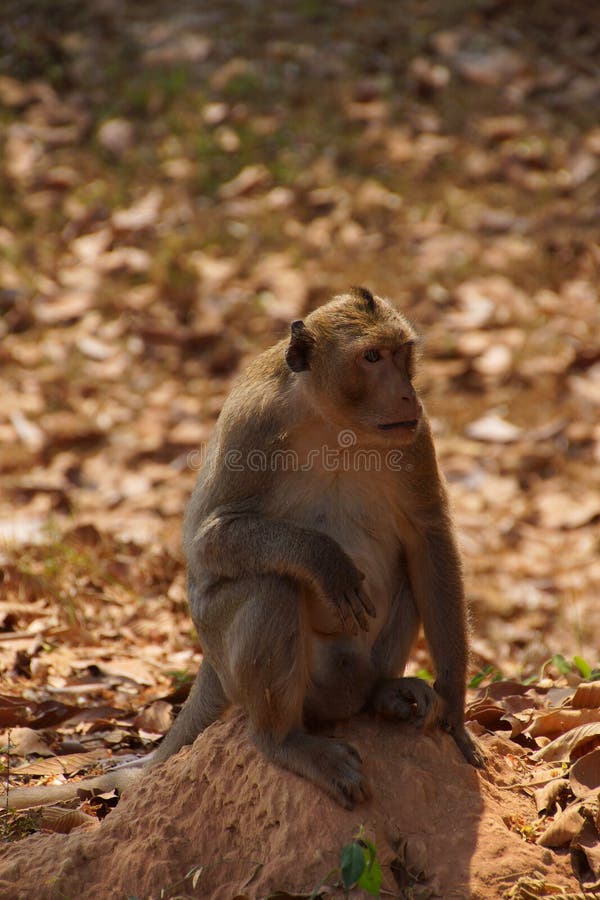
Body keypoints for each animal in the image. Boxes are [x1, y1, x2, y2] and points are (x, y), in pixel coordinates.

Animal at [5, 287, 483, 812]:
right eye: (372, 357)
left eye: (402, 354)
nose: (405, 393)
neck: (333, 421)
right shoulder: (252, 422)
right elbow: (207, 541)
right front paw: (323, 559)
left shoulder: (416, 434)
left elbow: (428, 538)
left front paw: (454, 709)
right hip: (245, 660)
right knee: (270, 588)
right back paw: (285, 741)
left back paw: (382, 695)